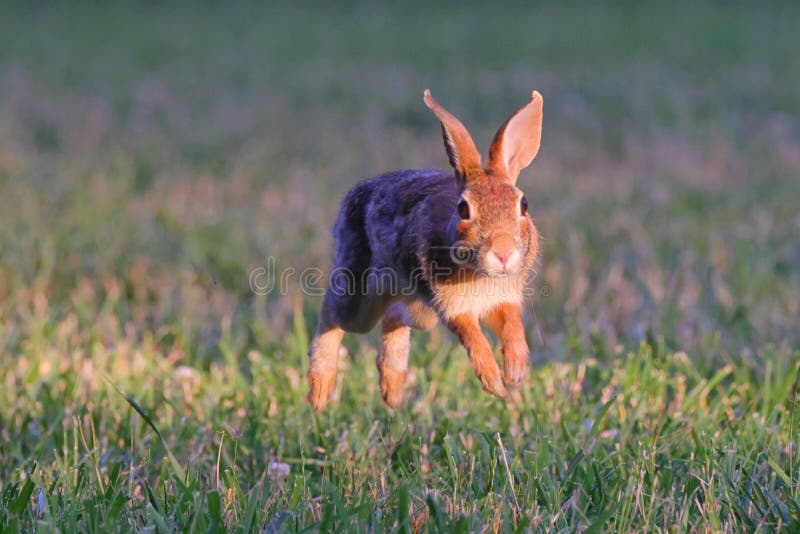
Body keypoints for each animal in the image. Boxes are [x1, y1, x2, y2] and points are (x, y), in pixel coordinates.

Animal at [307, 89, 543, 411]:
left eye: (524, 205)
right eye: (463, 208)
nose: (503, 252)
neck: (479, 273)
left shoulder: (502, 300)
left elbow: (511, 327)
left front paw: (516, 372)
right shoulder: (451, 306)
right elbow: (473, 336)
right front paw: (494, 382)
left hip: (419, 312)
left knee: (393, 316)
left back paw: (392, 388)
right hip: (359, 298)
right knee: (332, 315)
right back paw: (319, 392)